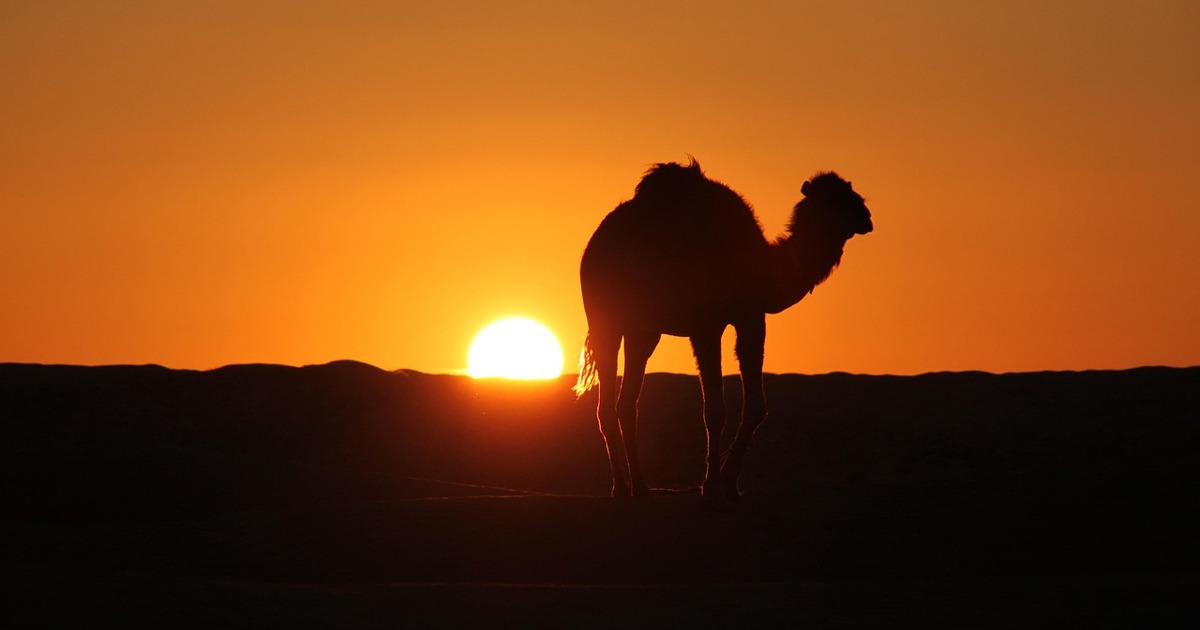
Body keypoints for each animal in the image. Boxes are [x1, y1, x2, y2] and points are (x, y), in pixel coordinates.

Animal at [574, 159, 873, 500]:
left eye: (850, 191)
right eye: (832, 199)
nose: (866, 216)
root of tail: (595, 245)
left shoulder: (751, 318)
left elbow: (756, 406)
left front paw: (731, 482)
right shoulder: (706, 326)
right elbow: (715, 409)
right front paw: (712, 484)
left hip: (644, 329)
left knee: (626, 403)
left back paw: (640, 485)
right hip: (605, 319)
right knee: (606, 405)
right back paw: (621, 487)